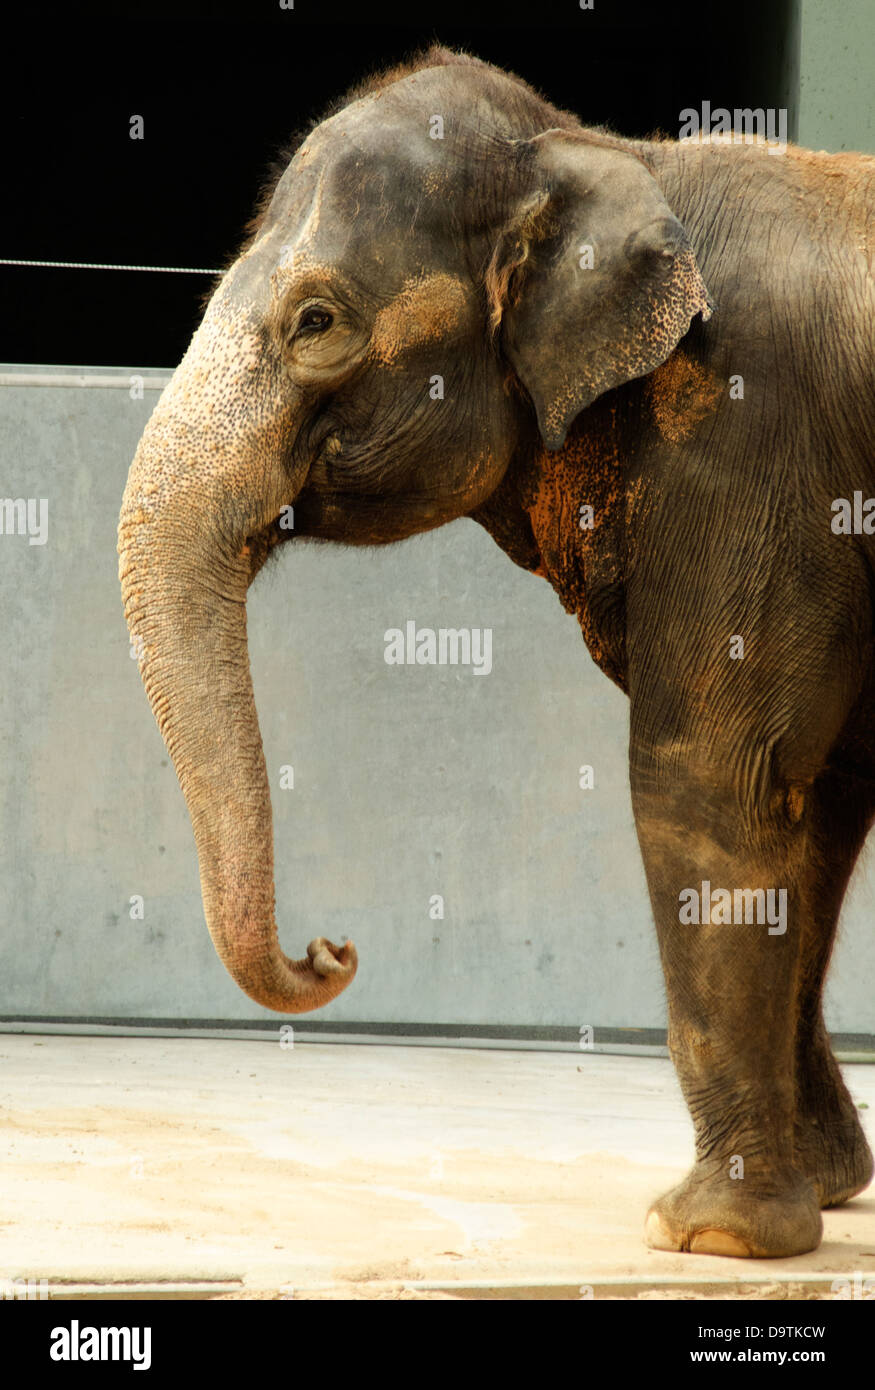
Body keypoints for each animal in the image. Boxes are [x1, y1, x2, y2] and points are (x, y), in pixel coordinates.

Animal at [118, 45, 875, 1259]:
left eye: (315, 319)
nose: (331, 948)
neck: (598, 153)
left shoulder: (751, 441)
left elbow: (710, 775)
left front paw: (706, 1236)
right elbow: (811, 798)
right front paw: (818, 1191)